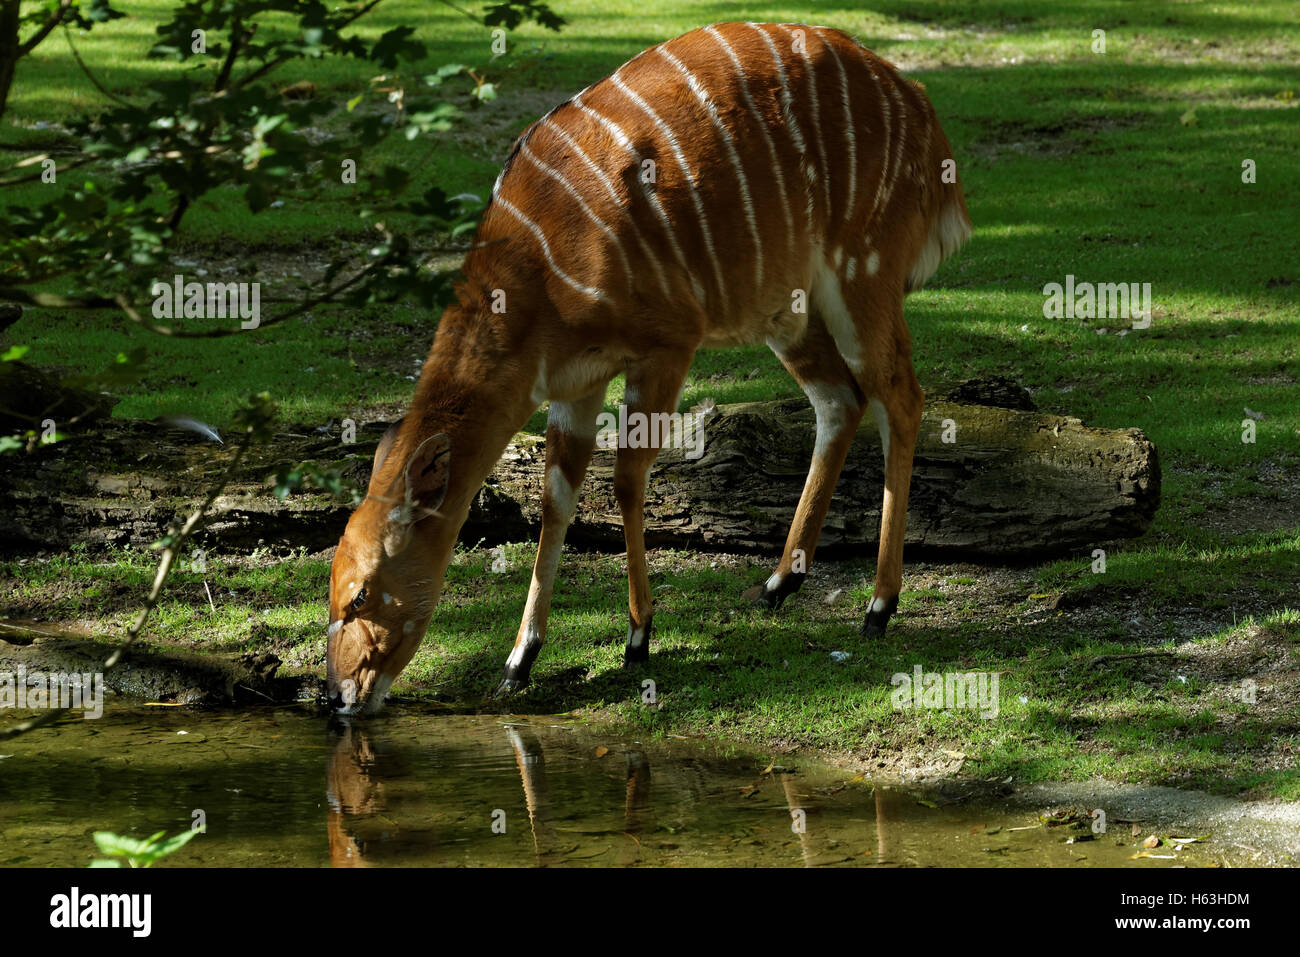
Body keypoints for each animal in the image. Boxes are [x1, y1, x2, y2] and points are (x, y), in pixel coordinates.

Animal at [330, 20, 972, 712]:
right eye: (330, 590)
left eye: (361, 594)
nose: (340, 695)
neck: (537, 270)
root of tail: (923, 110)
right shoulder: (575, 383)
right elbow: (557, 498)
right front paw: (519, 660)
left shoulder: (666, 344)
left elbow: (627, 479)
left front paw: (638, 637)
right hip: (786, 311)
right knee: (840, 401)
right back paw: (778, 584)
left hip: (863, 273)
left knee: (900, 395)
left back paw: (880, 605)